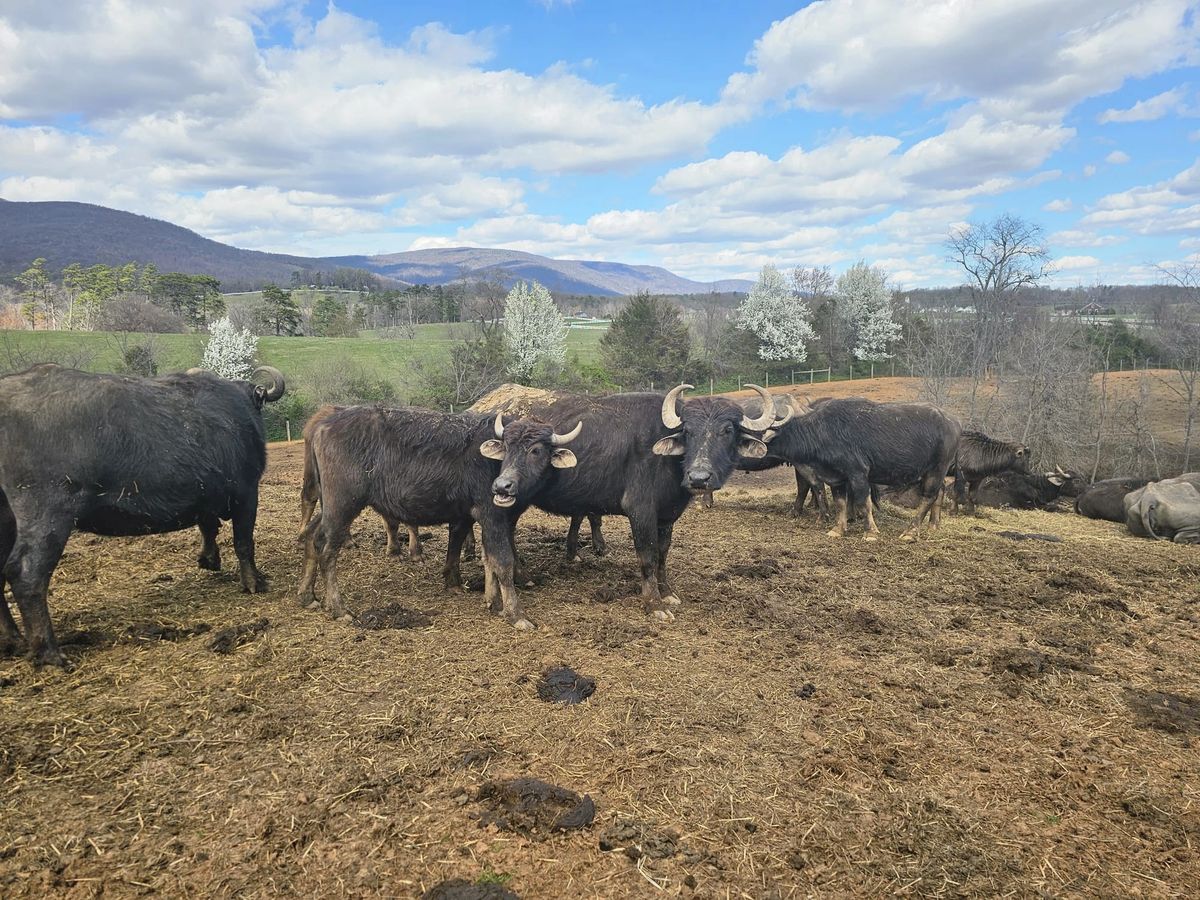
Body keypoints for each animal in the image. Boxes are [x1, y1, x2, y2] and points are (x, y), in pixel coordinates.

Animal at [0, 363, 285, 667]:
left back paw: (13, 640)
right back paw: (50, 652)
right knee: (26, 573)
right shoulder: (247, 493)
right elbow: (244, 542)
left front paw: (209, 560)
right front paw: (254, 582)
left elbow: (208, 526)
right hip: (49, 514)